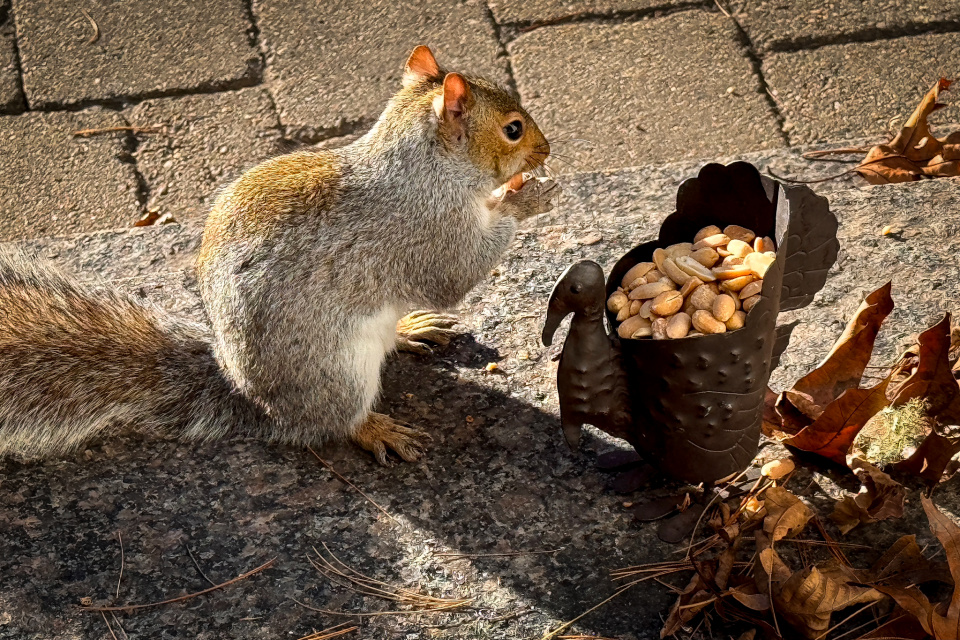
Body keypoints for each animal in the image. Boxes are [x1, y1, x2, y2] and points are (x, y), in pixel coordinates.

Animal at [0, 46, 559, 466]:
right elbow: (457, 274)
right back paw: (376, 429)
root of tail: (255, 399)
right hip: (339, 373)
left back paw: (408, 328)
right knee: (335, 424)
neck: (424, 166)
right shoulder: (429, 231)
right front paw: (524, 197)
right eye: (512, 129)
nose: (548, 149)